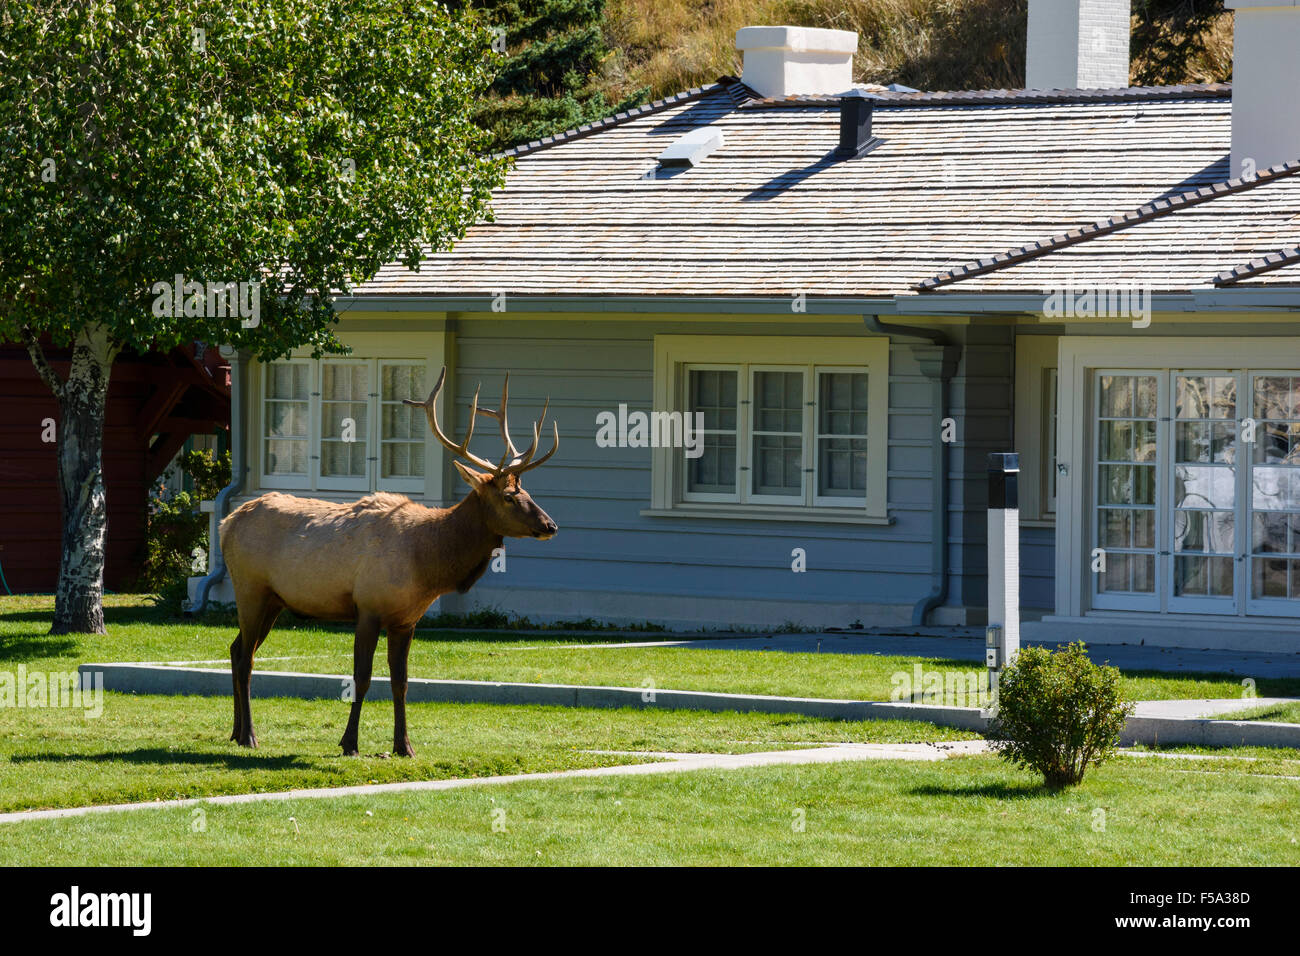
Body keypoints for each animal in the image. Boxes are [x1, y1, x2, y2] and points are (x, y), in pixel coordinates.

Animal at [219, 366, 558, 756]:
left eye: (526, 491)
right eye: (508, 497)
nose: (550, 525)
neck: (427, 565)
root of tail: (226, 523)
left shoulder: (406, 620)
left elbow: (401, 681)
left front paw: (404, 746)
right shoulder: (368, 607)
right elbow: (362, 677)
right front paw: (349, 743)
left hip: (274, 600)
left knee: (235, 649)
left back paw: (234, 731)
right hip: (250, 589)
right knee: (246, 657)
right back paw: (249, 735)